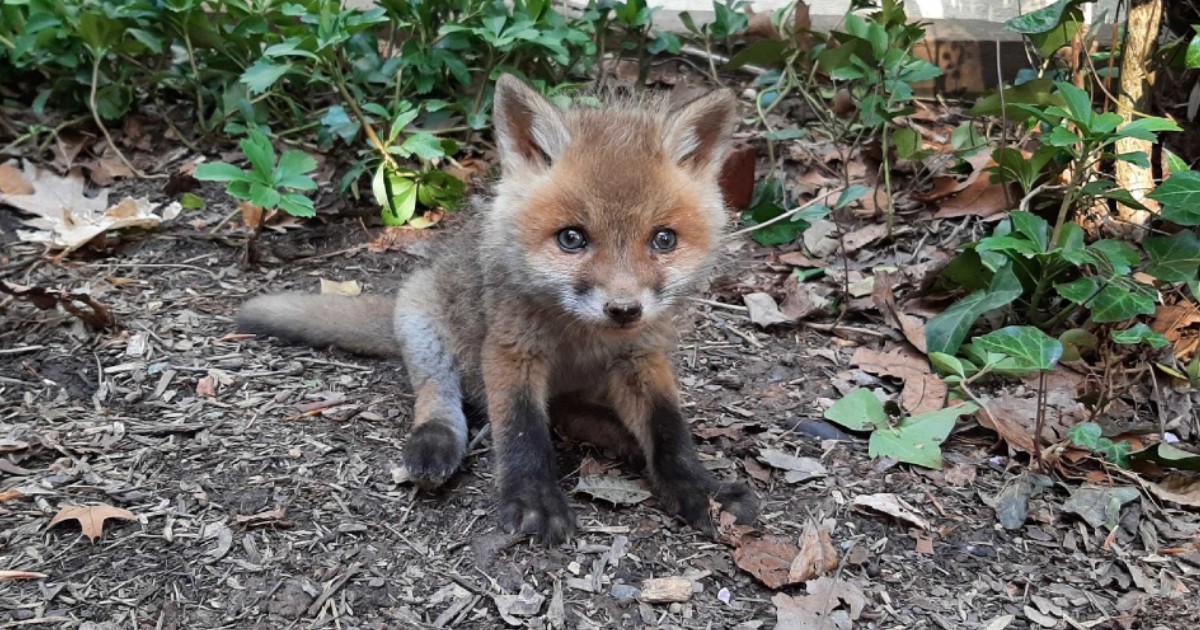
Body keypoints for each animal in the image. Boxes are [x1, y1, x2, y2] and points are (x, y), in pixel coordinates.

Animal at [235, 73, 759, 545]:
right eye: (572, 238)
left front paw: (701, 489)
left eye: (664, 240)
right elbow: (523, 432)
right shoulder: (510, 350)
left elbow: (669, 430)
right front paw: (534, 501)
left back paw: (621, 437)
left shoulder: (641, 357)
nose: (624, 310)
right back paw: (437, 440)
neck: (581, 337)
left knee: (568, 412)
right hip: (424, 329)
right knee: (441, 397)